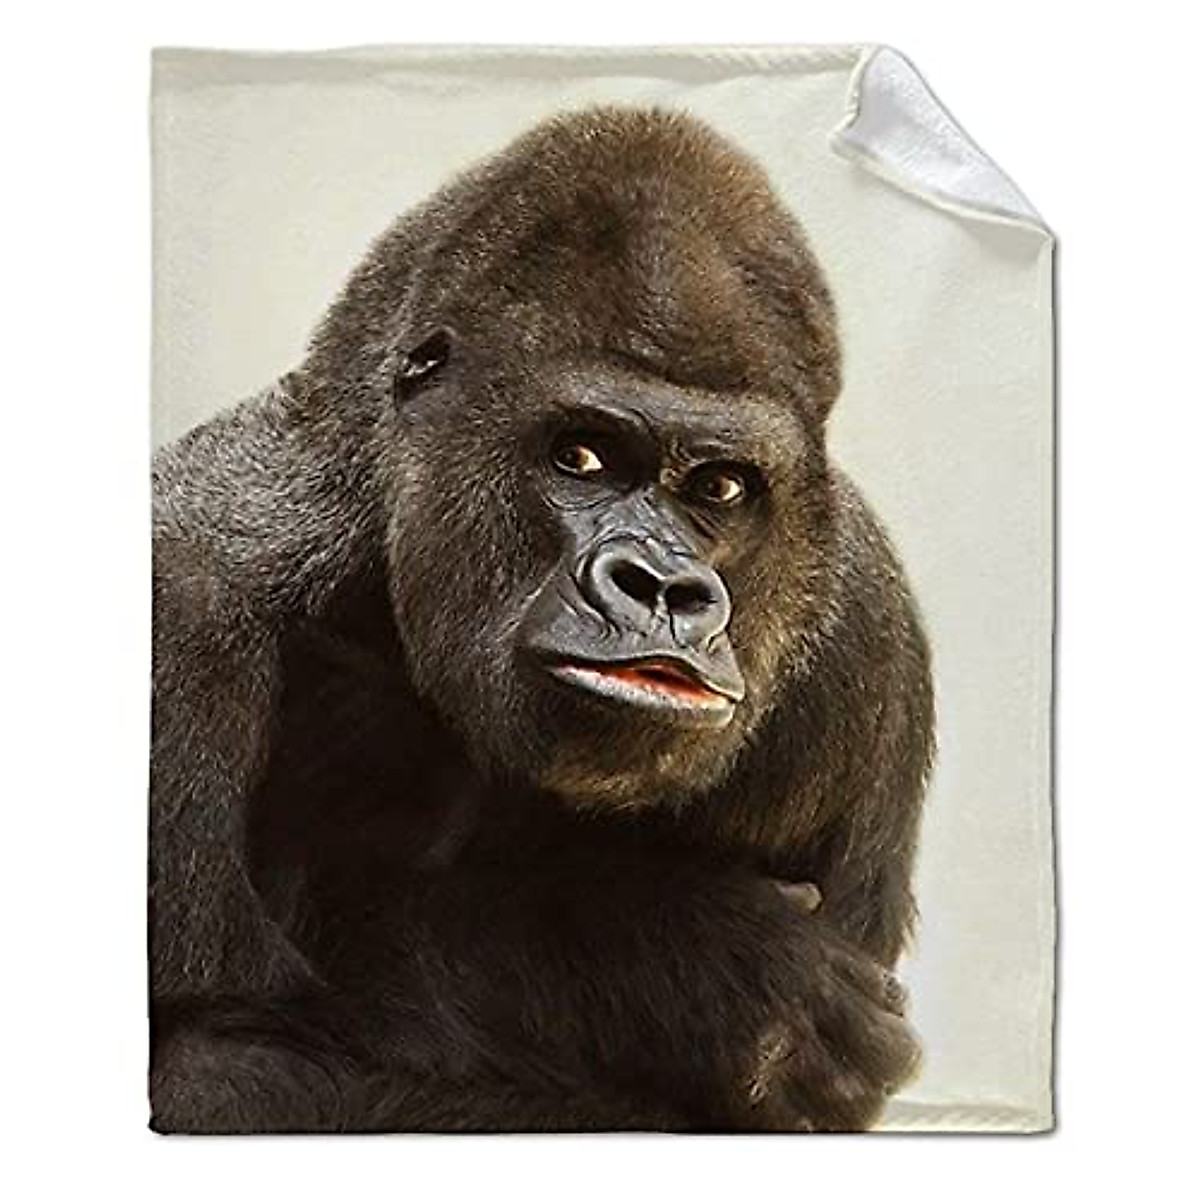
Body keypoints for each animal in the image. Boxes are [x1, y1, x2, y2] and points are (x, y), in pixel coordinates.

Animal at [149, 106, 935, 1134]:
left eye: (720, 488)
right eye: (582, 457)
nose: (661, 589)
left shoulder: (866, 647)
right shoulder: (179, 607)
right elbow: (200, 1068)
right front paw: (689, 967)